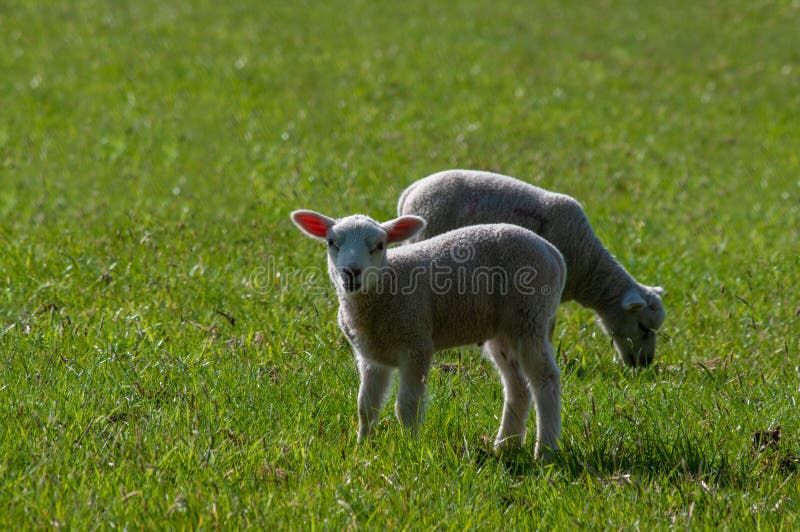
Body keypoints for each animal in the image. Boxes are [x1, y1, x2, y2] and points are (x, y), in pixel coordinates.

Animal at [291, 209, 566, 458]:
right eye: (331, 242)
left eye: (379, 245)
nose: (351, 273)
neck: (384, 288)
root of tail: (552, 252)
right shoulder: (372, 356)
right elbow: (366, 406)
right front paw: (362, 448)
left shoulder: (417, 343)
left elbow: (407, 406)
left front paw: (409, 448)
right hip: (504, 329)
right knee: (517, 386)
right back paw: (505, 445)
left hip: (530, 317)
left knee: (546, 379)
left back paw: (546, 450)